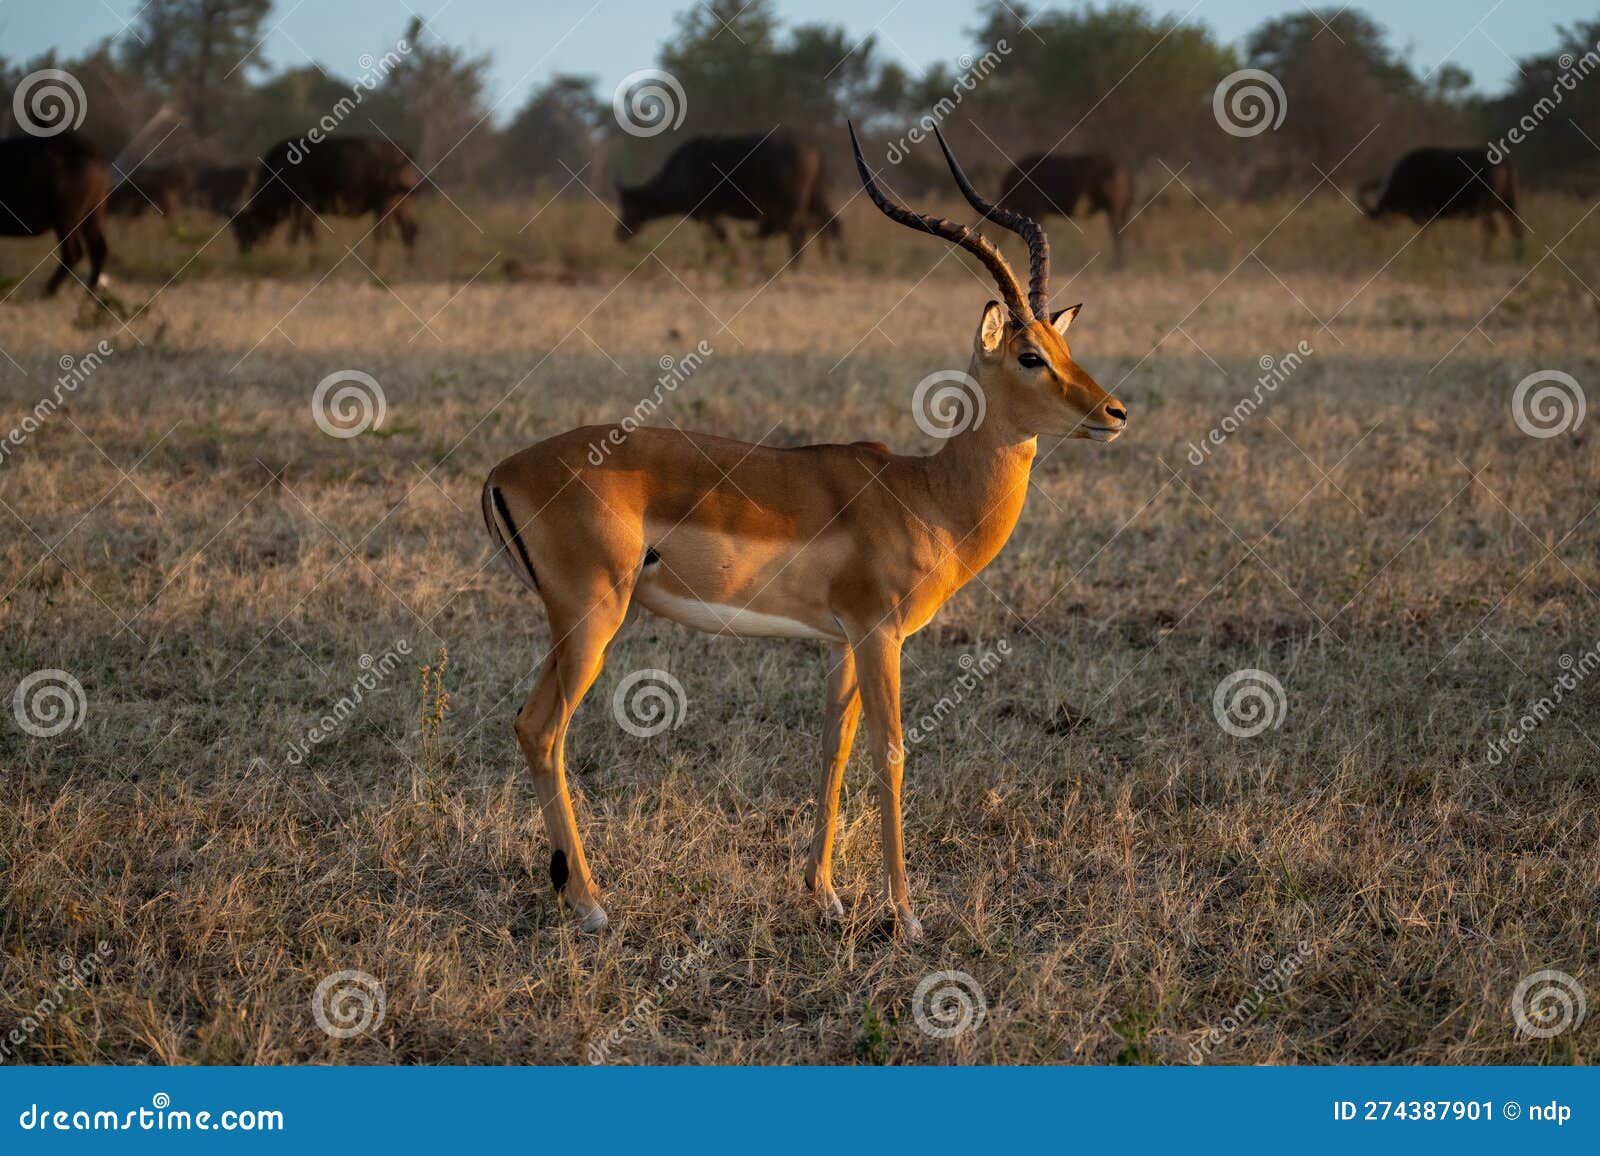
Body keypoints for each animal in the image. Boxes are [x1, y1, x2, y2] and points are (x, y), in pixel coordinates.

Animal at [481, 124, 1128, 938]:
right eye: (1029, 356)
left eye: (1064, 347)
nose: (1114, 413)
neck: (924, 494)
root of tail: (503, 469)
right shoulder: (880, 633)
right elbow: (890, 753)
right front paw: (906, 916)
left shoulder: (840, 640)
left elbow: (833, 750)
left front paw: (824, 894)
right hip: (593, 618)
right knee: (542, 729)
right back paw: (593, 905)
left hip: (570, 625)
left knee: (528, 726)